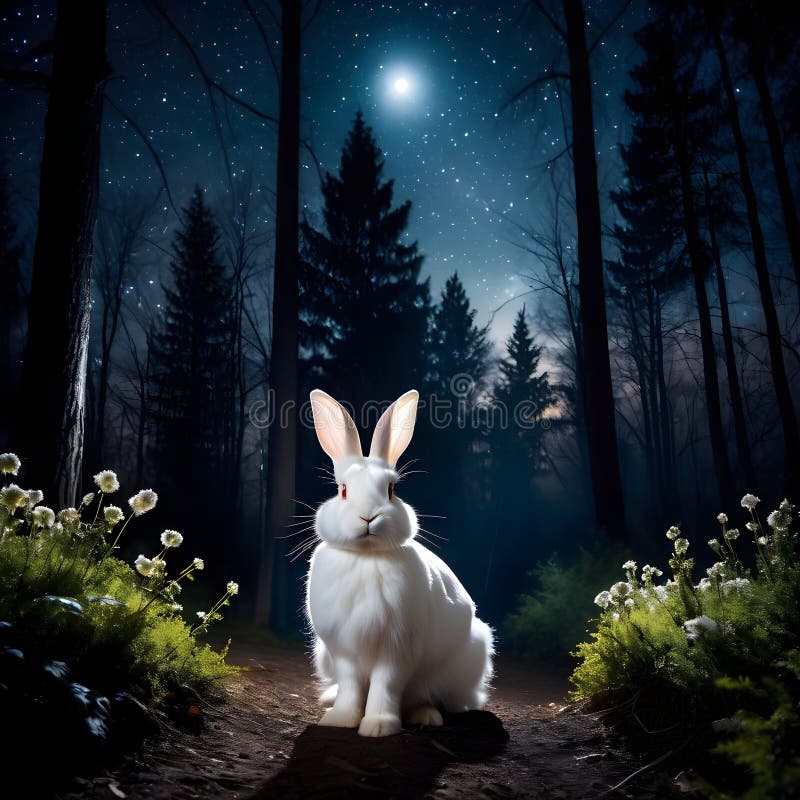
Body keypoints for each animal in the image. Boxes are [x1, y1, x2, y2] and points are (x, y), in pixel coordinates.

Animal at [305, 388, 494, 738]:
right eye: (343, 490)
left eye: (391, 489)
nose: (368, 516)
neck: (367, 556)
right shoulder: (343, 651)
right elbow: (351, 686)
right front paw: (340, 719)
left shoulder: (398, 648)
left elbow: (386, 685)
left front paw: (379, 726)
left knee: (424, 697)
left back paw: (426, 716)